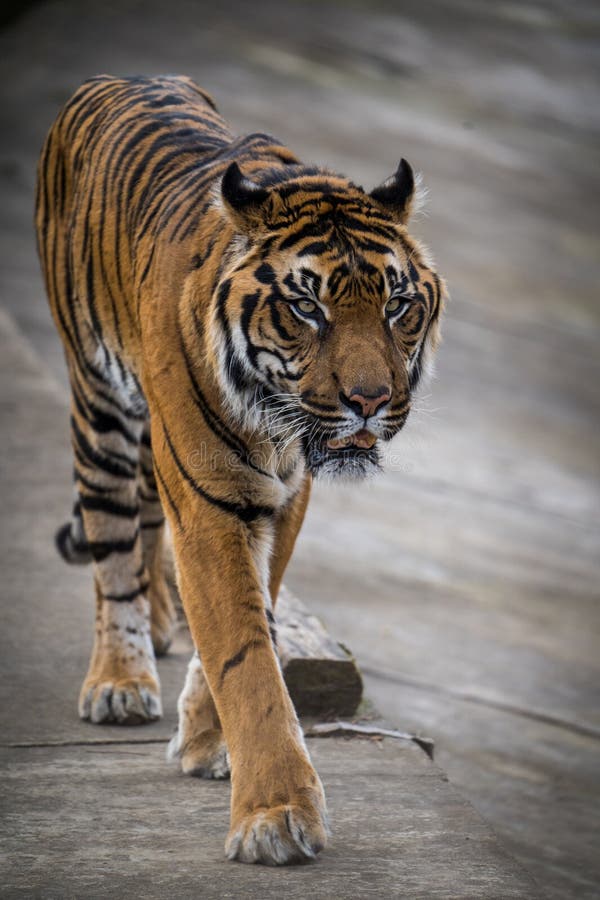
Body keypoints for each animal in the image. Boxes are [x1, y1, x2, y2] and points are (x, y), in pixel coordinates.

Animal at [35, 74, 445, 866]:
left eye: (398, 305)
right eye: (307, 306)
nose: (370, 401)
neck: (277, 425)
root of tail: (119, 78)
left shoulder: (287, 493)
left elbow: (253, 609)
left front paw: (206, 738)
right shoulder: (211, 499)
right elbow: (245, 656)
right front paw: (276, 817)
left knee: (144, 520)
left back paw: (161, 626)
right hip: (99, 403)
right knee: (110, 540)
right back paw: (121, 678)